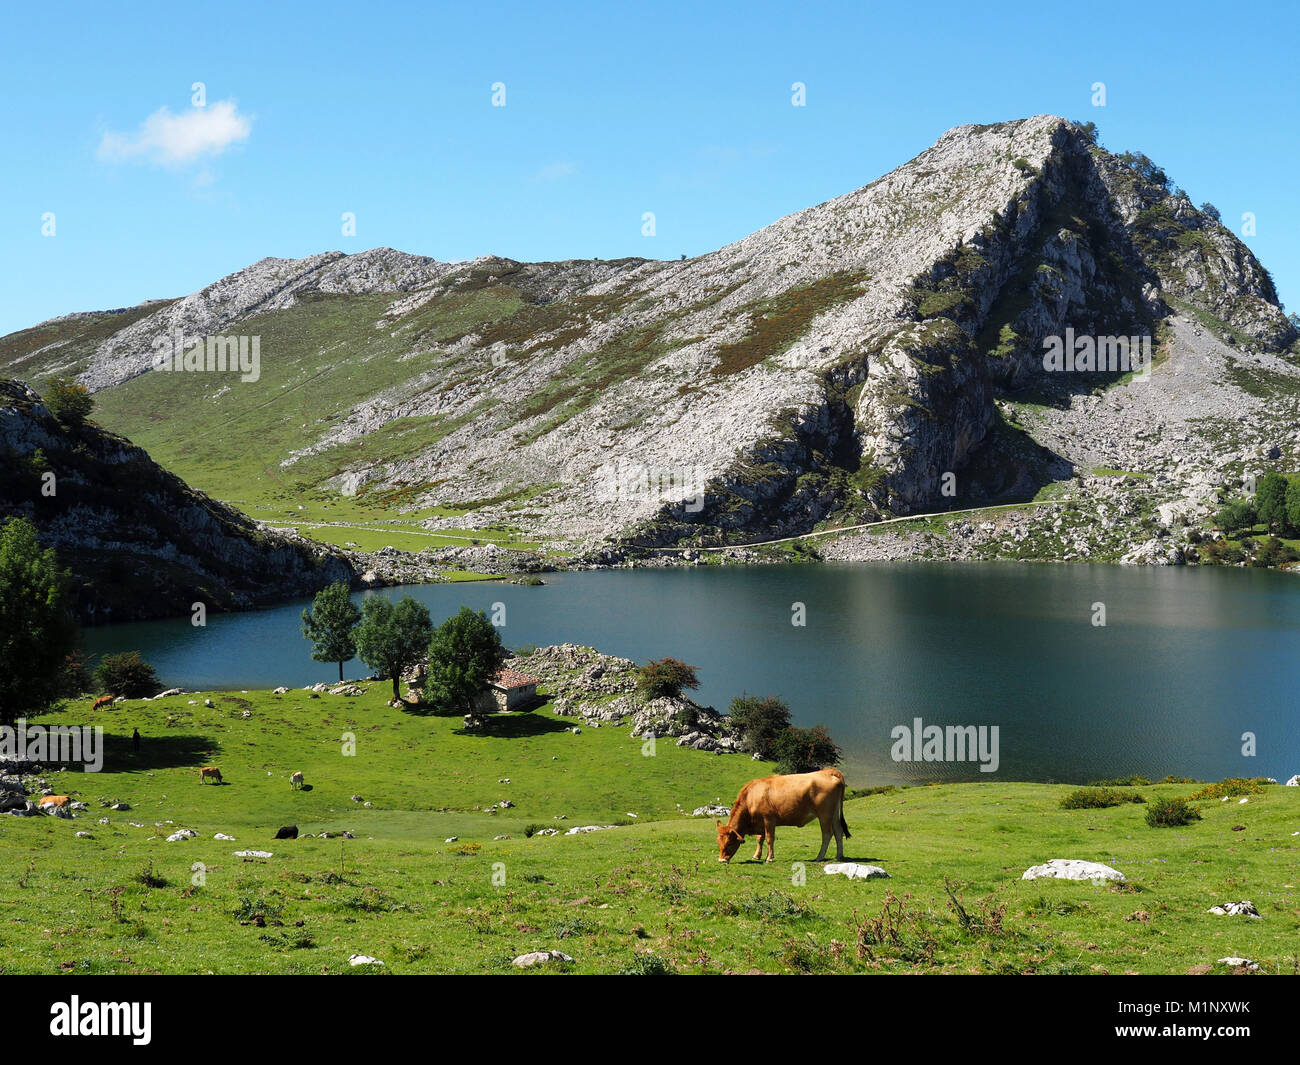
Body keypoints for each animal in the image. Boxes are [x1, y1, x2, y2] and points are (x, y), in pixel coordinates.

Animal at [717, 767, 850, 864]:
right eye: (718, 842)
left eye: (729, 843)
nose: (721, 860)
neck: (751, 797)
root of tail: (828, 772)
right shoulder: (760, 822)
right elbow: (760, 839)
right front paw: (757, 856)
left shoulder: (769, 819)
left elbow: (769, 838)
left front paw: (769, 858)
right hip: (834, 814)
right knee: (838, 832)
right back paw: (839, 856)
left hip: (824, 815)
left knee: (827, 834)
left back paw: (820, 856)